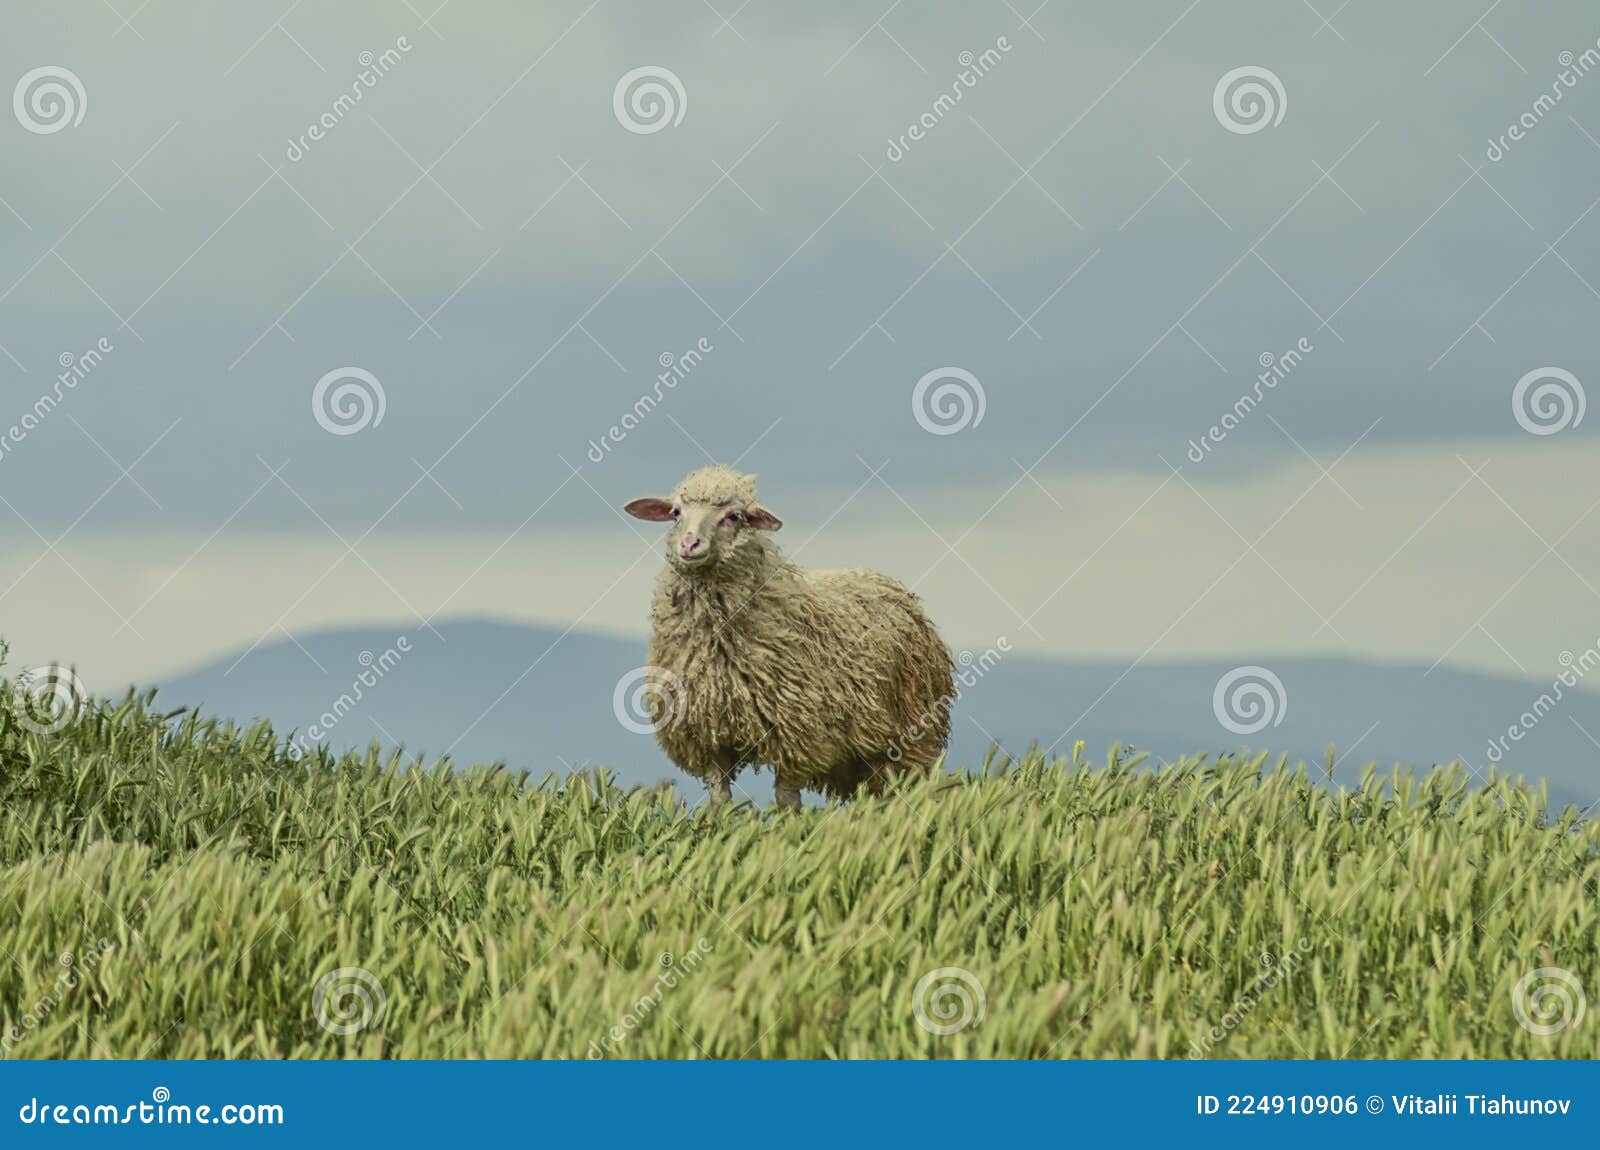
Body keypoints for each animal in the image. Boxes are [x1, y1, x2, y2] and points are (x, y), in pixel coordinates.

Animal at [624, 464, 955, 810]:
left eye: (734, 516)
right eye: (676, 512)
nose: (689, 545)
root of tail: (881, 579)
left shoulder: (797, 735)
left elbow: (787, 801)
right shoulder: (708, 739)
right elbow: (720, 799)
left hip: (912, 736)